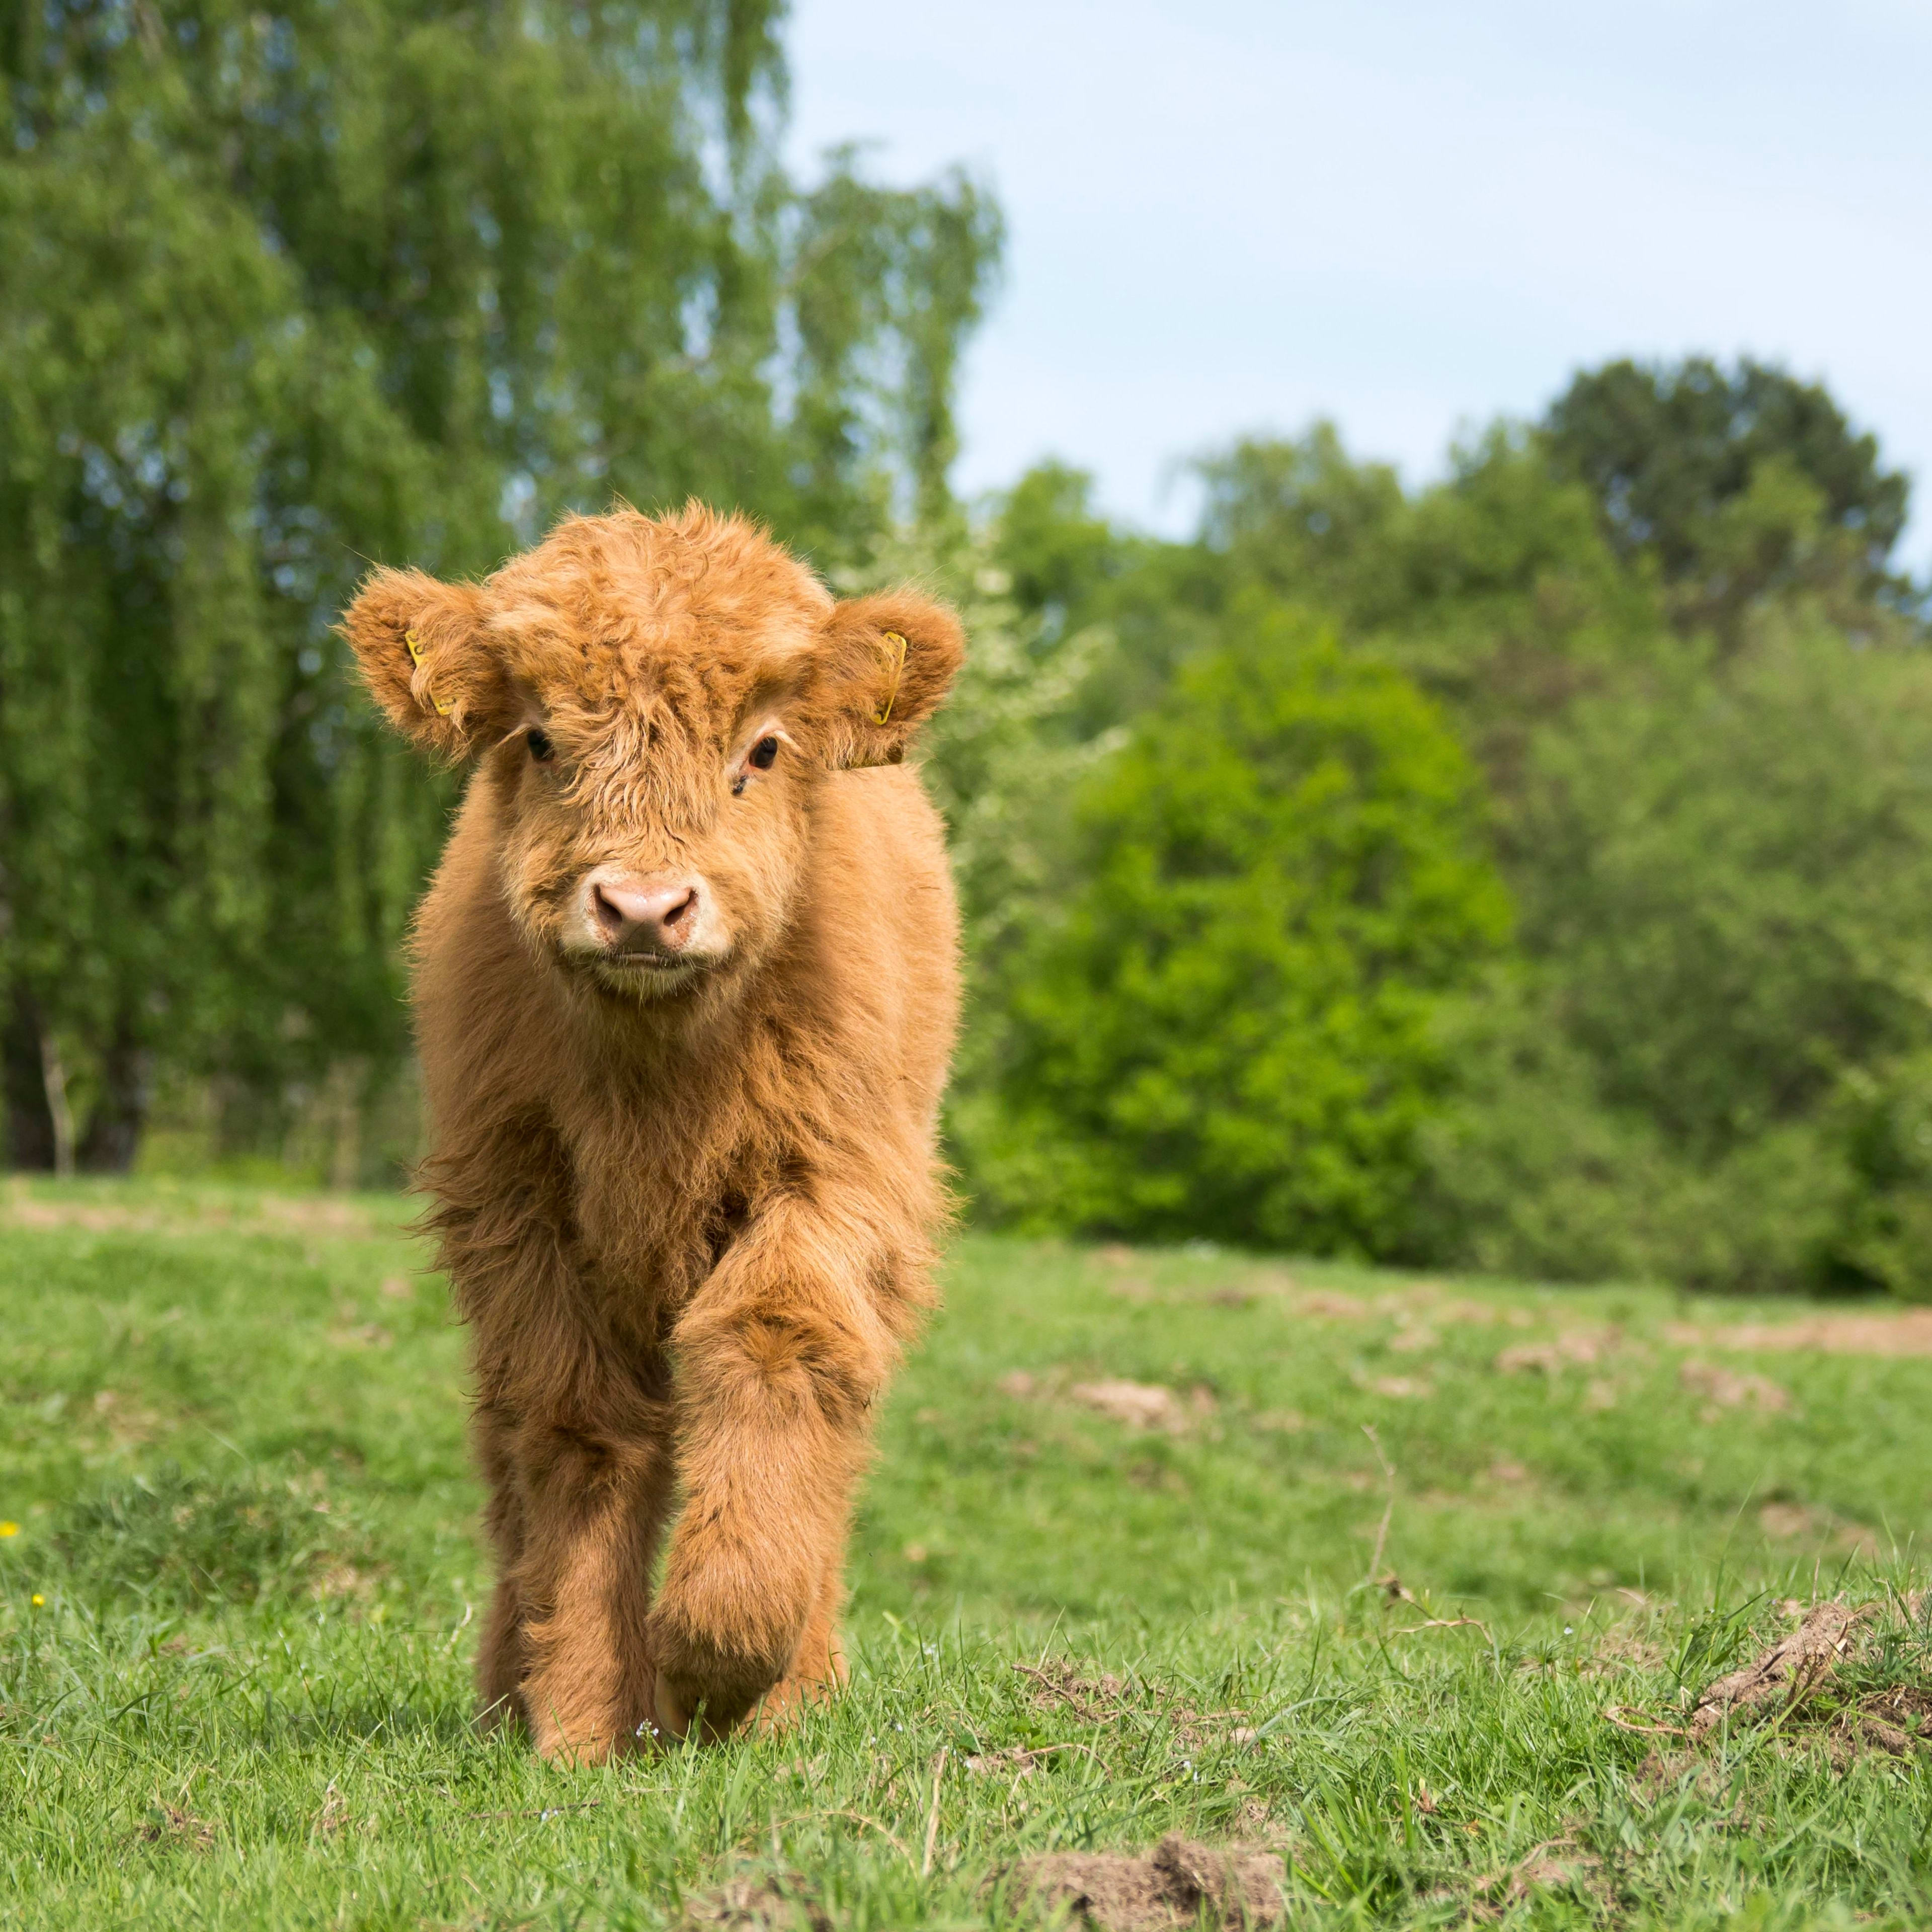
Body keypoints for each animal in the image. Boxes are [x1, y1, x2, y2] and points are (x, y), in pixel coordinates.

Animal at [340, 506, 963, 1761]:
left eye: (762, 750)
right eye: (539, 738)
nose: (640, 908)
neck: (654, 1086)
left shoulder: (832, 1187)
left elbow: (771, 1352)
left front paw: (720, 1664)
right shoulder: (516, 1207)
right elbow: (577, 1429)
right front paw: (585, 1716)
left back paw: (800, 1684)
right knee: (507, 1456)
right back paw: (507, 1686)